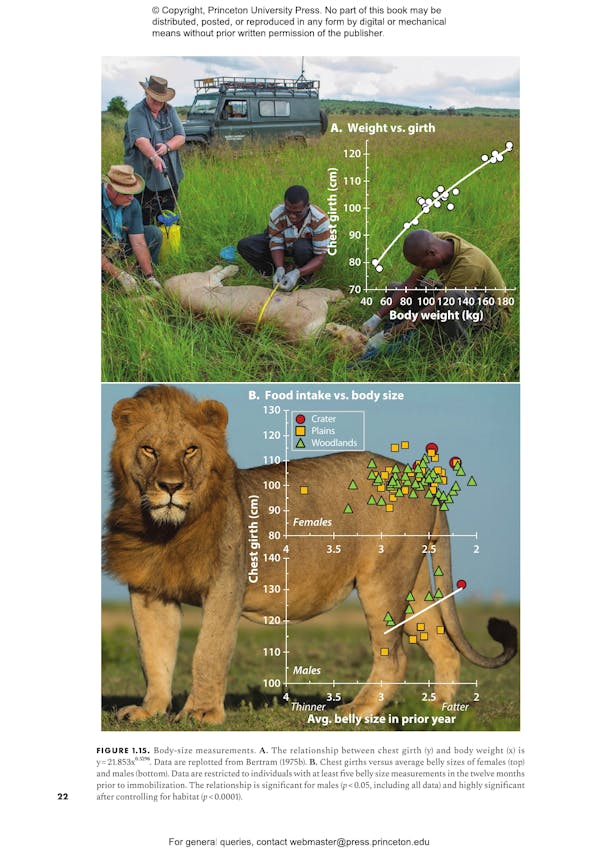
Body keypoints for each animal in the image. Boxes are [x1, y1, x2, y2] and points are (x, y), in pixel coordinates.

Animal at [104, 385, 517, 725]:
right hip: (411, 582)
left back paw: (356, 710)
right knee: (443, 646)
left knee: (396, 656)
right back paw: (437, 711)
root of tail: (421, 480)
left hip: (382, 579)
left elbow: (208, 650)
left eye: (190, 449)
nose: (170, 487)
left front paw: (201, 713)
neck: (164, 532)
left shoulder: (226, 583)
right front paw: (149, 710)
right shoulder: (150, 590)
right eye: (148, 449)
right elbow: (152, 654)